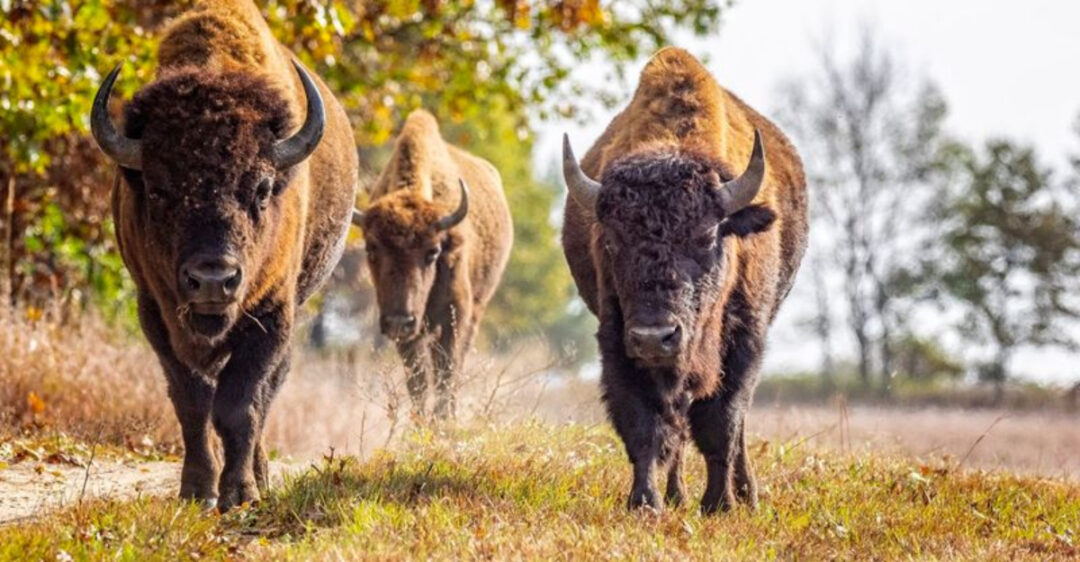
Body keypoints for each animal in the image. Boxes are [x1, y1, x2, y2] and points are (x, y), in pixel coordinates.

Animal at [91, 0, 359, 510]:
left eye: (261, 188)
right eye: (157, 189)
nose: (213, 280)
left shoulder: (272, 314)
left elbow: (240, 404)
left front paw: (241, 493)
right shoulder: (155, 312)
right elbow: (192, 401)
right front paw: (198, 491)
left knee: (266, 394)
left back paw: (261, 477)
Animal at [354, 110, 512, 420]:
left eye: (433, 252)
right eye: (371, 247)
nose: (399, 321)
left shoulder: (454, 317)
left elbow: (445, 376)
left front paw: (442, 423)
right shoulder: (407, 333)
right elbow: (418, 383)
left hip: (476, 311)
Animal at [561, 48, 808, 513]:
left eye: (707, 235)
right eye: (612, 240)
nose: (655, 337)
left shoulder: (744, 341)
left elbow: (722, 424)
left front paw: (720, 503)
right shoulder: (618, 342)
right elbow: (644, 426)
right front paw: (645, 502)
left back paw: (745, 494)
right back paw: (676, 494)